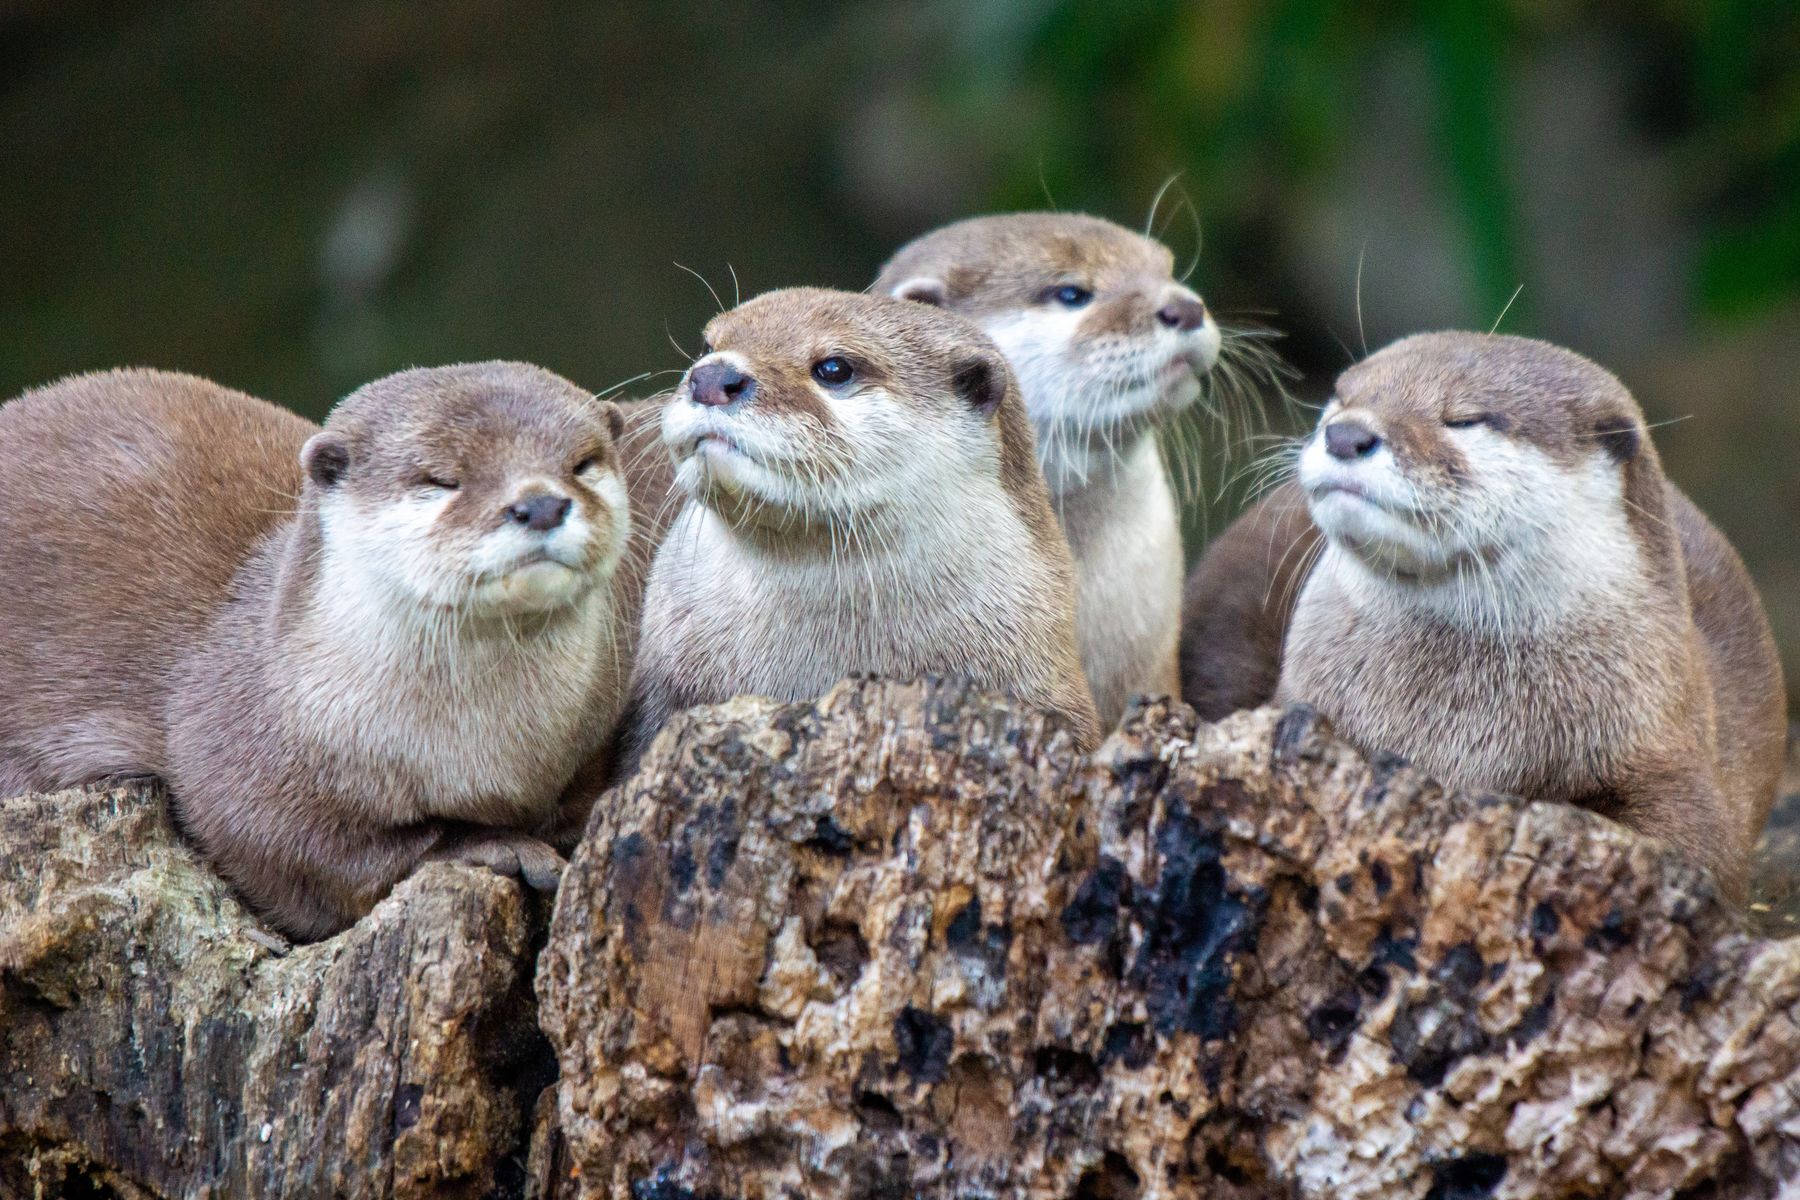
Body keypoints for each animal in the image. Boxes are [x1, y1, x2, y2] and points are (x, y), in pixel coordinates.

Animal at [0, 364, 632, 939]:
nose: (541, 504)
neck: (486, 757)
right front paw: (495, 844)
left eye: (582, 462)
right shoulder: (237, 754)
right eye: (441, 479)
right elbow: (312, 853)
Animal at [1216, 333, 1783, 898]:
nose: (1346, 433)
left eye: (1465, 418)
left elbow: (1701, 847)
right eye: (1341, 396)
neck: (1451, 723)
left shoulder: (1673, 762)